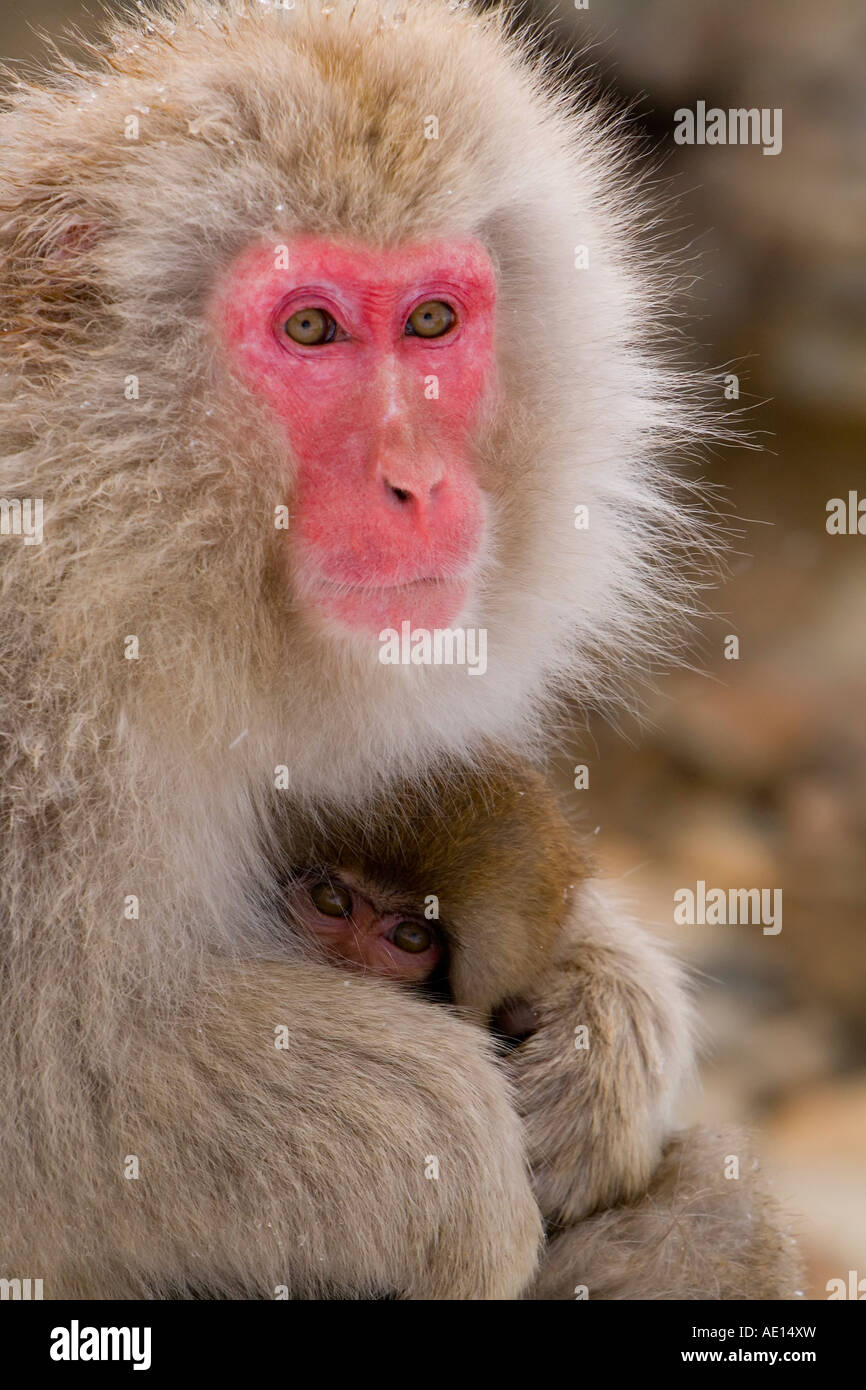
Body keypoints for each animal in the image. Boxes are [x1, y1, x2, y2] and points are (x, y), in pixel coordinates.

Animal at [0, 0, 802, 1299]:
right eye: (310, 328)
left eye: (431, 320)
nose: (417, 484)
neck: (85, 536)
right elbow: (62, 1087)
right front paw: (448, 1155)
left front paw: (603, 1016)